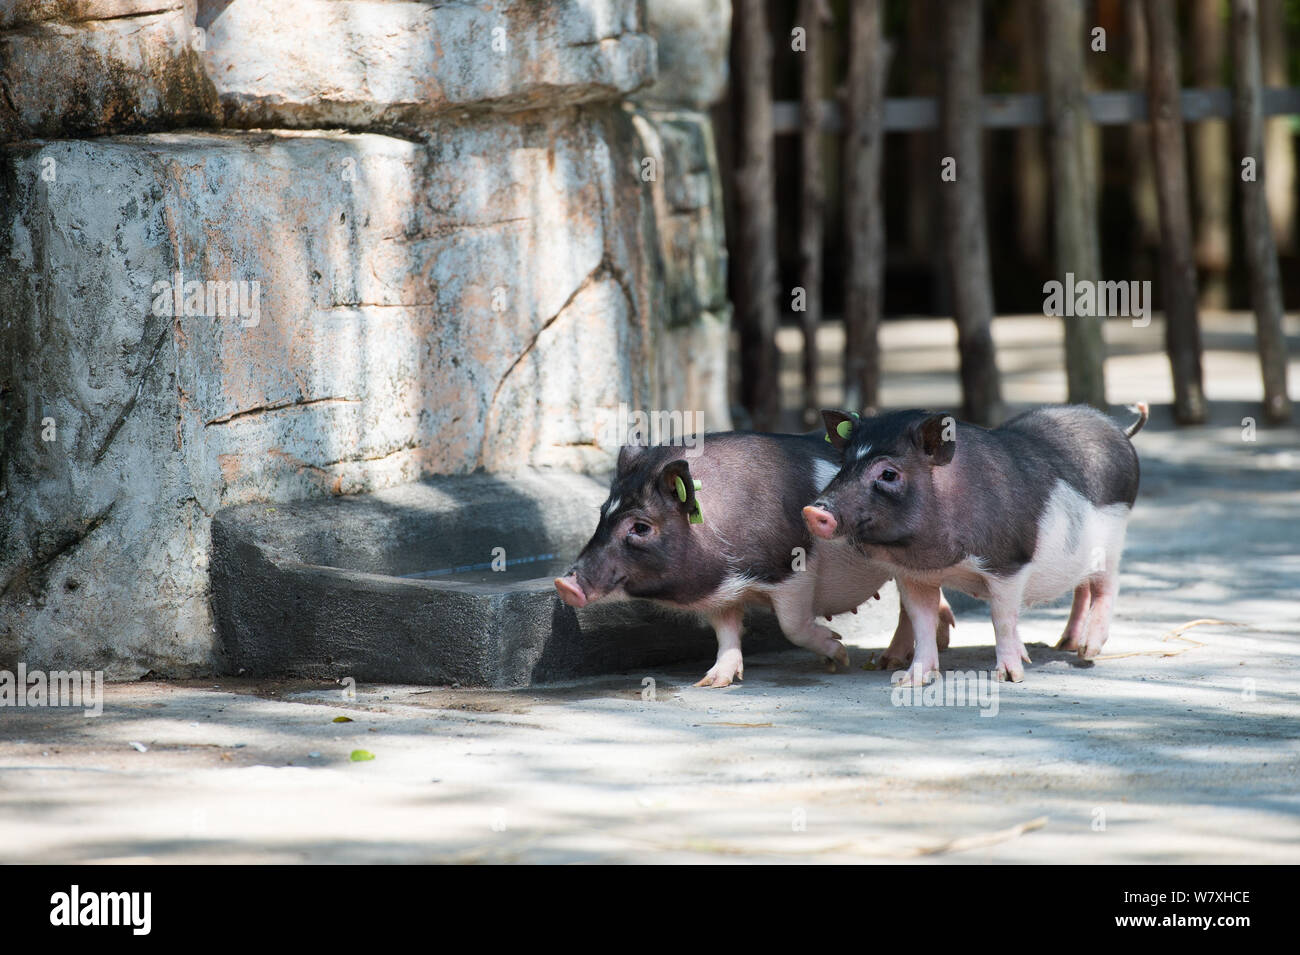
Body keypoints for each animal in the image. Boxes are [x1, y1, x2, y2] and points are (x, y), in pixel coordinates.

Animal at [554, 431, 956, 687]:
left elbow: (792, 626)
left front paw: (837, 655)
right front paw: (712, 682)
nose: (564, 582)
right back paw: (892, 659)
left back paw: (889, 660)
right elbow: (727, 630)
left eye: (640, 527)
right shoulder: (720, 591)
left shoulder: (791, 570)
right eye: (603, 512)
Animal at [803, 403, 1148, 685]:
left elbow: (1002, 618)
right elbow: (921, 621)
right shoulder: (913, 576)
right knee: (1082, 588)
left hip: (1113, 539)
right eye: (843, 464)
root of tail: (1119, 430)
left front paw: (1009, 677)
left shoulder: (1008, 563)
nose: (813, 510)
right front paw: (908, 681)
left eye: (888, 473)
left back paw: (1087, 652)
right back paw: (1066, 644)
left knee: (1107, 585)